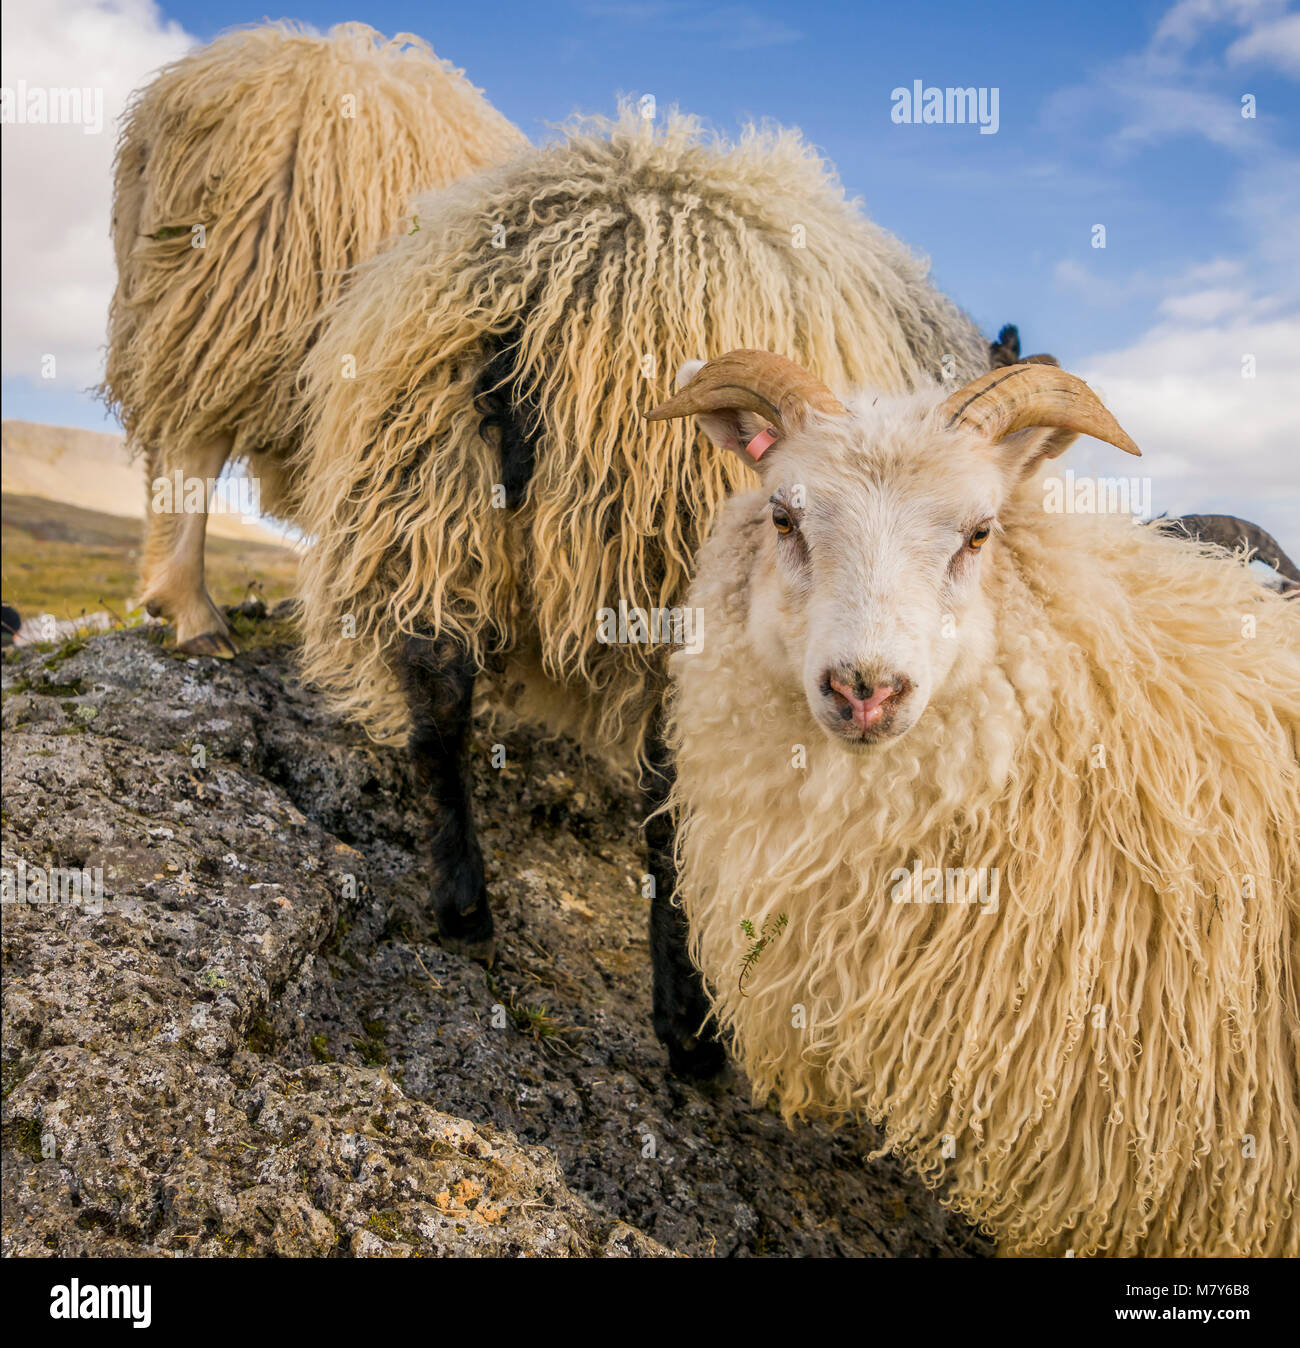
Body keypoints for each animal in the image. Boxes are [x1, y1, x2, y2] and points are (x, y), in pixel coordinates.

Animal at [291, 108, 991, 1073]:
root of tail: (551, 281)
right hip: (673, 544)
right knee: (672, 793)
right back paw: (690, 1029)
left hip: (420, 491)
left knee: (436, 699)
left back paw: (463, 906)